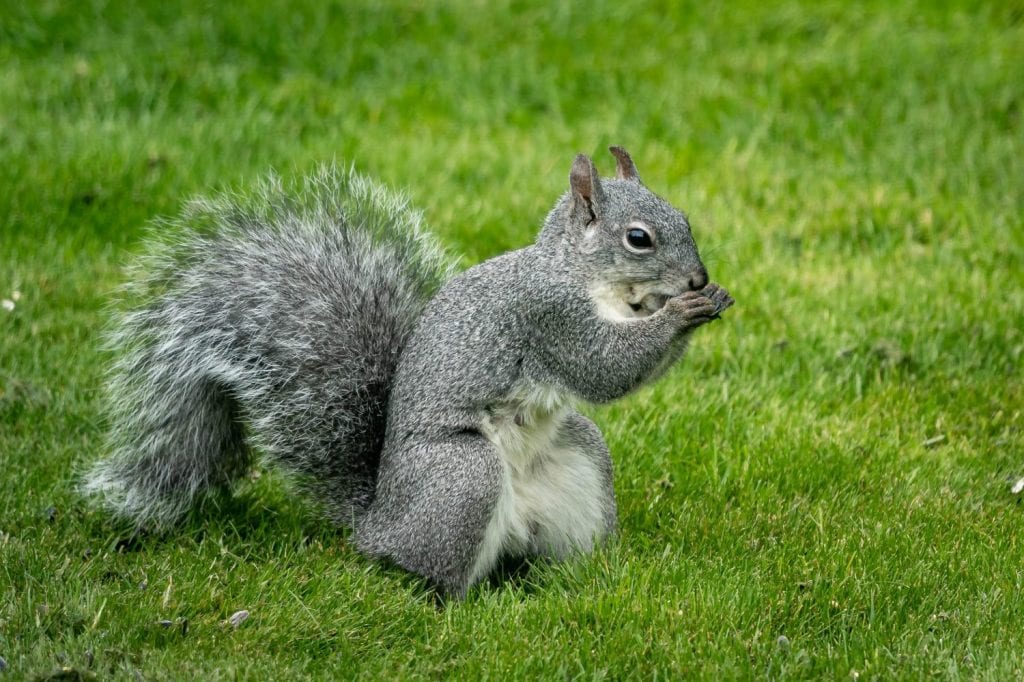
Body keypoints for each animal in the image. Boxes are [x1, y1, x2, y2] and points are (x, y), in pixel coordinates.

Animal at [83, 147, 734, 597]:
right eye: (639, 238)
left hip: (579, 458)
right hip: (462, 476)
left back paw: (589, 575)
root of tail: (377, 522)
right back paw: (455, 600)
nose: (698, 278)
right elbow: (603, 367)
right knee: (429, 571)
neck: (583, 276)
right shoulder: (550, 320)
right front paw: (683, 312)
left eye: (684, 217)